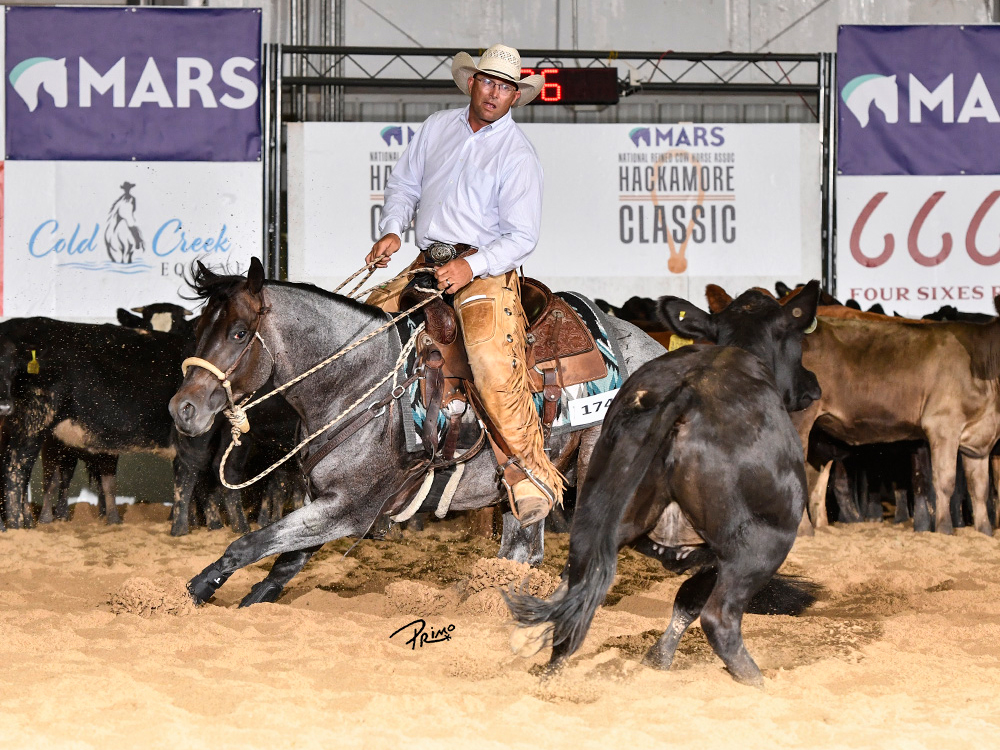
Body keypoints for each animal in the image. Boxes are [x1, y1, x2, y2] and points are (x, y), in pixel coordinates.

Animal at [169, 258, 665, 608]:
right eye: (199, 327)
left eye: (238, 333)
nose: (182, 409)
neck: (359, 379)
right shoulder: (325, 501)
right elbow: (282, 566)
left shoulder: (349, 507)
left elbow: (247, 545)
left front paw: (188, 593)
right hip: (524, 486)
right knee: (522, 549)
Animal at [505, 281, 822, 686]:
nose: (811, 385)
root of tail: (685, 394)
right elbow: (691, 598)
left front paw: (656, 659)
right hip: (764, 540)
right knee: (719, 618)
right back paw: (756, 681)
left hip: (596, 517)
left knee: (576, 592)